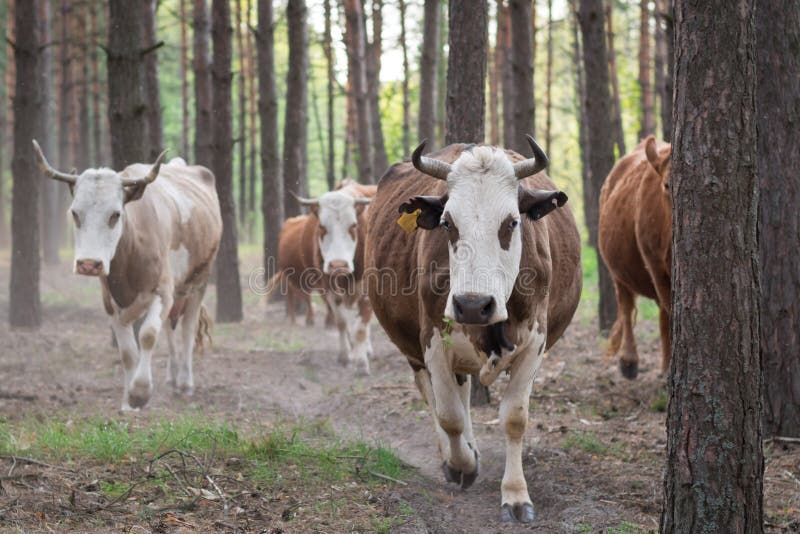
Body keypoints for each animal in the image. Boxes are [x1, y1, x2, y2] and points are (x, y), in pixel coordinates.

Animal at [32, 141, 222, 411]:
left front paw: (140, 391)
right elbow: (128, 351)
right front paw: (128, 400)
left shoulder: (162, 291)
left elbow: (148, 335)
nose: (88, 264)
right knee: (170, 329)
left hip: (199, 282)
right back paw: (173, 378)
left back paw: (185, 382)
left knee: (186, 329)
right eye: (75, 213)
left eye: (115, 214)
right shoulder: (111, 302)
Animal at [272, 181, 376, 374]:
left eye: (353, 225)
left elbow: (361, 329)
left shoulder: (368, 291)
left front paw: (361, 363)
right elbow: (342, 322)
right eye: (322, 226)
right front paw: (345, 356)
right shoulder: (330, 289)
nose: (338, 264)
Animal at [365, 137, 582, 523]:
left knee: (462, 391)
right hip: (413, 348)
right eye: (448, 223)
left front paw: (515, 495)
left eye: (511, 223)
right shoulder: (433, 341)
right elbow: (449, 415)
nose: (472, 305)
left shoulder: (535, 343)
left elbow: (514, 418)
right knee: (434, 396)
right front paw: (461, 464)